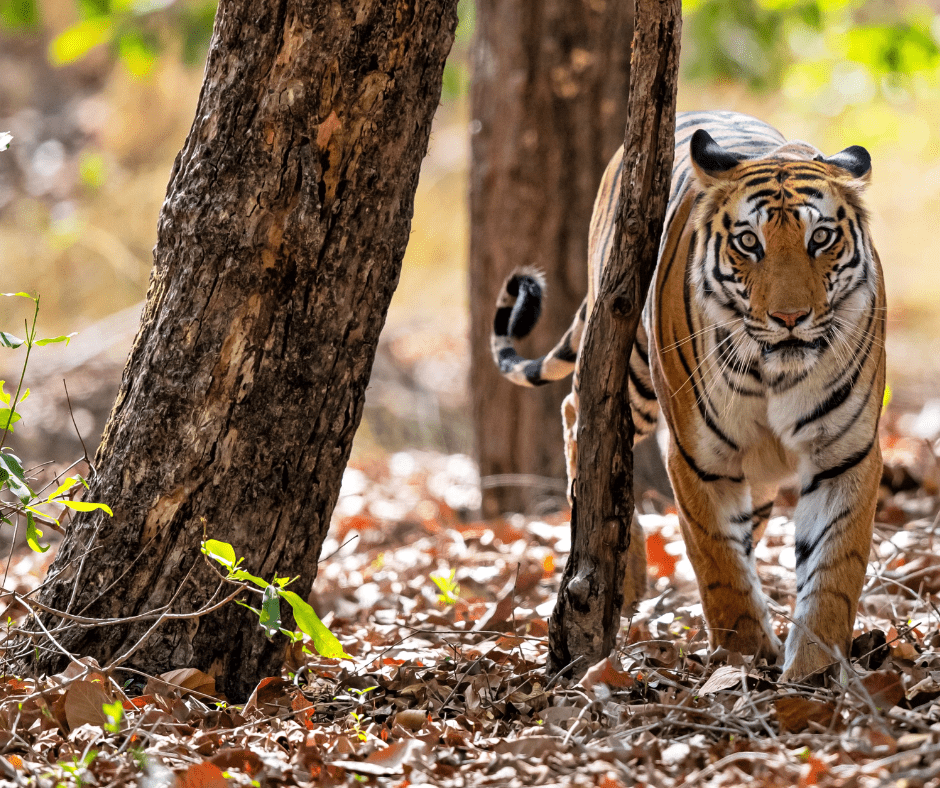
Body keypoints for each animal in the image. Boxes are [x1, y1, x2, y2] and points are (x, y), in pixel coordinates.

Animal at [490, 110, 885, 682]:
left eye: (822, 237)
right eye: (749, 242)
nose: (789, 318)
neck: (775, 376)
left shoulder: (844, 454)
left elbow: (833, 569)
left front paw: (814, 673)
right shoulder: (700, 458)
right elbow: (719, 564)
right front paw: (744, 658)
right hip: (630, 369)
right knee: (578, 417)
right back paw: (625, 578)